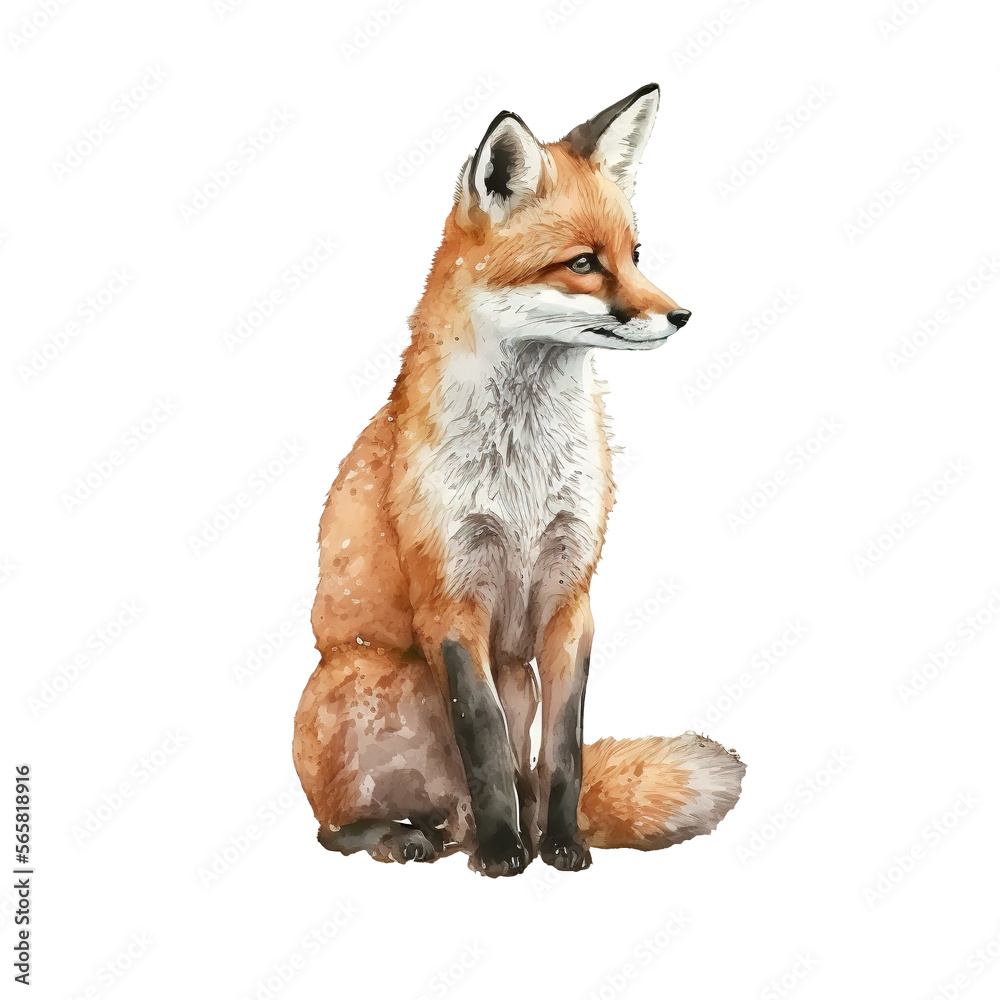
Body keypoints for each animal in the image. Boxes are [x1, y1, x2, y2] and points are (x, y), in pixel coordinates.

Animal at [293, 83, 745, 877]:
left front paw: (560, 845)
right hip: (364, 679)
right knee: (344, 826)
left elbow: (563, 755)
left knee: (498, 786)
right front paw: (506, 853)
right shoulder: (450, 600)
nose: (681, 315)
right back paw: (411, 837)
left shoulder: (572, 597)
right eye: (584, 264)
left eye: (634, 255)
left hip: (517, 679)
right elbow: (483, 743)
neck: (524, 474)